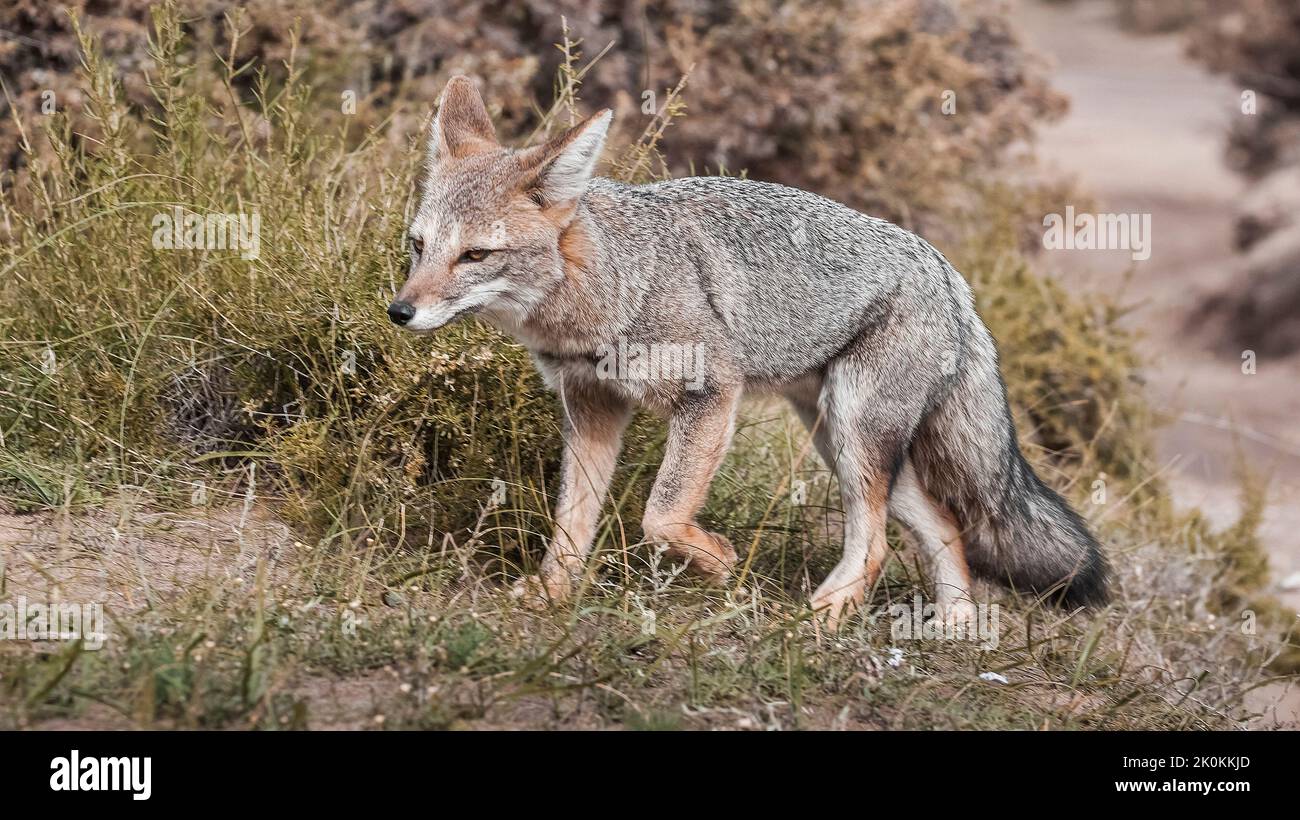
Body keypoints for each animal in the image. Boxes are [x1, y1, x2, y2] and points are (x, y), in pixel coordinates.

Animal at [389, 75, 1109, 628]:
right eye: (418, 246)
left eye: (475, 255)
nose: (399, 311)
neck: (612, 283)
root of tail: (953, 278)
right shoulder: (591, 407)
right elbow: (573, 522)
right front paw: (552, 594)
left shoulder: (711, 393)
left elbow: (660, 515)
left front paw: (716, 559)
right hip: (840, 441)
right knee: (946, 529)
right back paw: (956, 630)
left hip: (854, 436)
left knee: (878, 544)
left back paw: (822, 617)